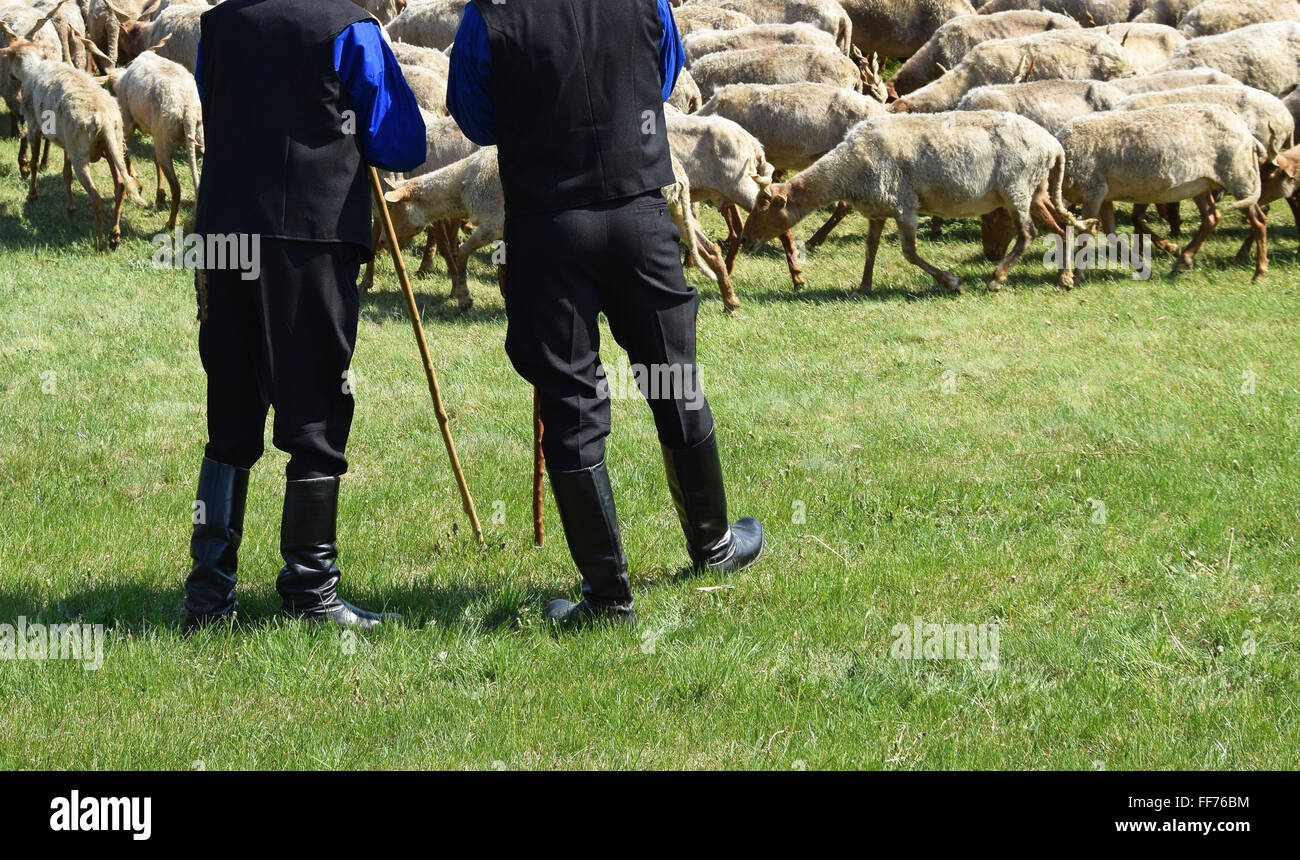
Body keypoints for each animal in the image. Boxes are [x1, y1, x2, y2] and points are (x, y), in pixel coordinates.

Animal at [0, 31, 147, 250]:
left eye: (9, 57)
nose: (9, 75)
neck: (32, 68)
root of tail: (104, 118)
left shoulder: (34, 126)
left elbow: (34, 163)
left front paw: (32, 194)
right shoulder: (66, 143)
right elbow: (66, 173)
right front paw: (70, 208)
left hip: (81, 153)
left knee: (96, 196)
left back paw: (100, 242)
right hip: (112, 147)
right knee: (120, 187)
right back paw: (114, 235)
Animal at [104, 48, 202, 231]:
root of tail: (188, 110)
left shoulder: (128, 123)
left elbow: (124, 152)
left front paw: (136, 184)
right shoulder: (156, 135)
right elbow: (153, 160)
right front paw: (158, 196)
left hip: (164, 139)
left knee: (176, 187)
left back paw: (171, 223)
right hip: (192, 136)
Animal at [739, 110, 1085, 293]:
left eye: (763, 208)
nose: (743, 241)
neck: (847, 171)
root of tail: (1052, 144)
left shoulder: (904, 204)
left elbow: (909, 252)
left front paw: (952, 282)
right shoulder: (877, 210)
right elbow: (871, 248)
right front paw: (863, 287)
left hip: (1016, 187)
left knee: (1029, 233)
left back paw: (996, 279)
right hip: (1036, 189)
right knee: (1060, 227)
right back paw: (1065, 277)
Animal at [1055, 103, 1266, 279]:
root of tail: (1248, 134)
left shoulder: (1092, 192)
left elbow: (1084, 235)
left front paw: (1075, 277)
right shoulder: (1103, 196)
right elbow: (1110, 234)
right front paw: (1140, 266)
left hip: (1238, 174)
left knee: (1258, 220)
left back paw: (1260, 272)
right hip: (1202, 184)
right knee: (1212, 217)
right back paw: (1182, 262)